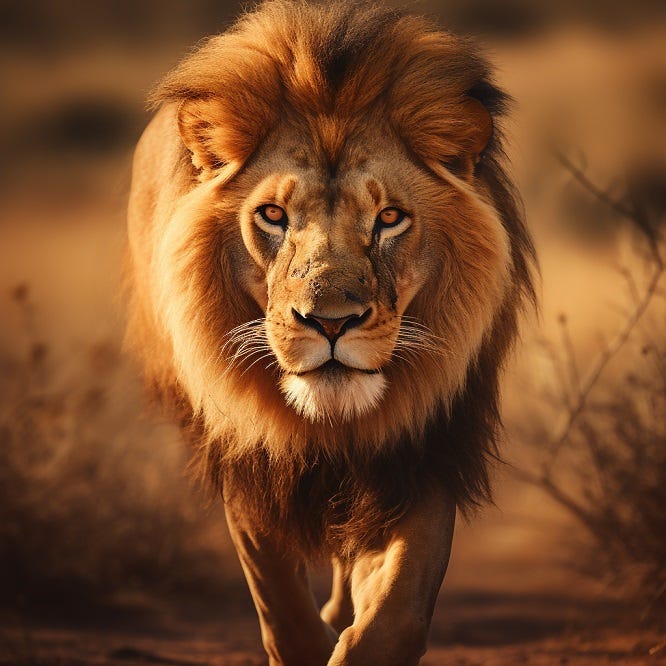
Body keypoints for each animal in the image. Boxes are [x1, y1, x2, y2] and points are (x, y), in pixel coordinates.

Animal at [126, 1, 536, 664]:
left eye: (390, 218)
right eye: (272, 215)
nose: (331, 321)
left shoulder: (426, 445)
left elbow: (396, 610)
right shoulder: (246, 452)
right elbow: (279, 600)